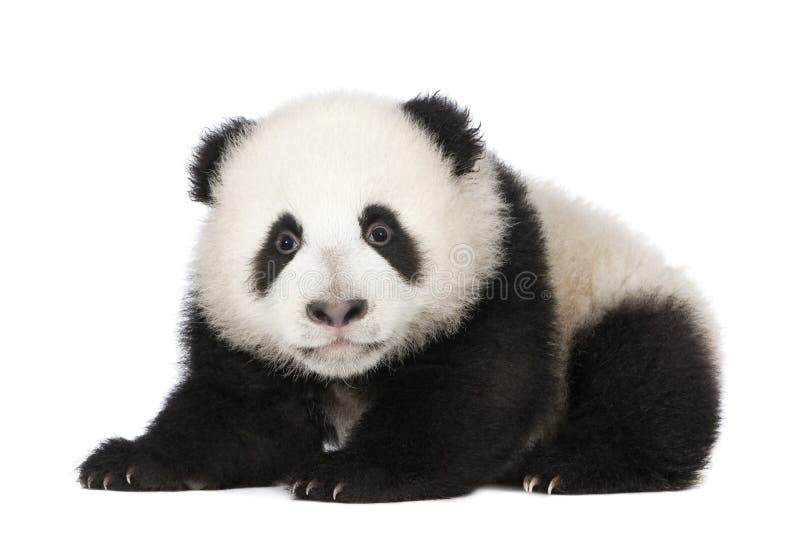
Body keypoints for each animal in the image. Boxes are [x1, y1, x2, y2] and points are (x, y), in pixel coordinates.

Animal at [79, 93, 720, 501]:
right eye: (285, 241)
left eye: (381, 231)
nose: (337, 311)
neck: (352, 372)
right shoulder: (241, 335)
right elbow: (238, 415)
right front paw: (129, 463)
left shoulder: (502, 279)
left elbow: (472, 395)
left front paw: (345, 474)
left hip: (614, 293)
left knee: (646, 377)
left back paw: (573, 468)